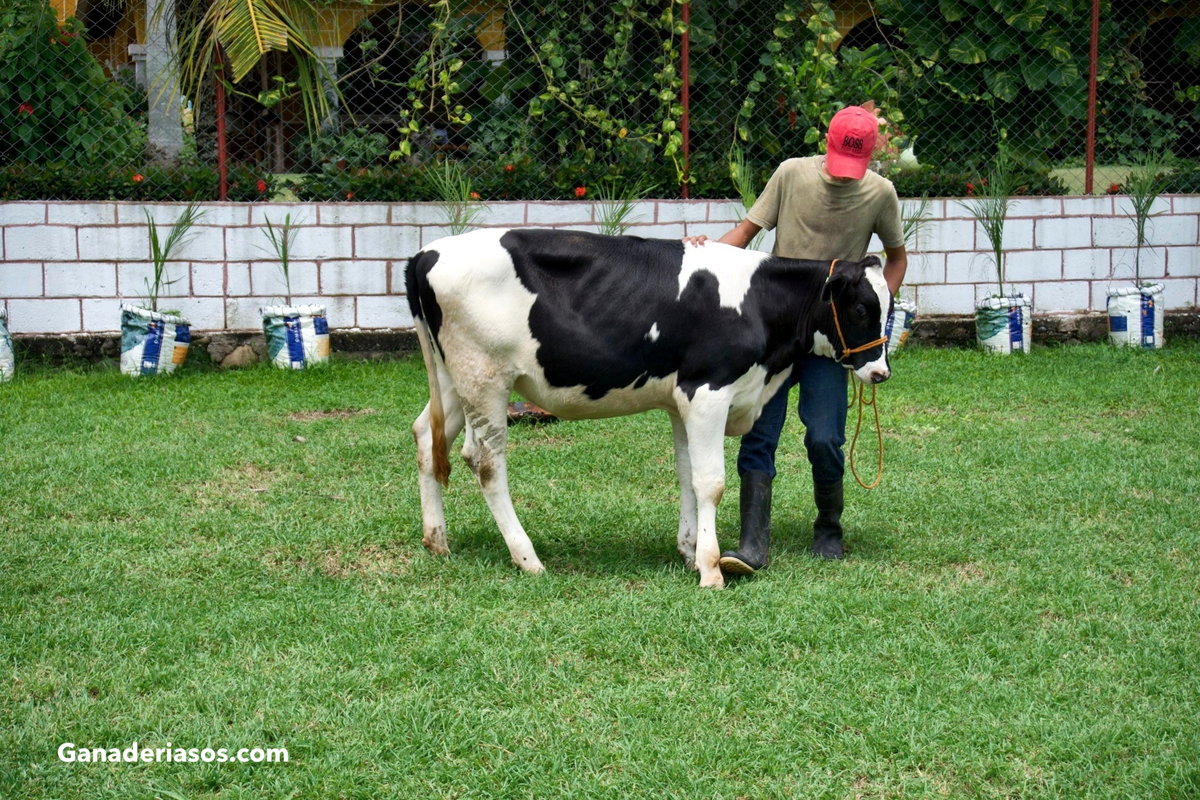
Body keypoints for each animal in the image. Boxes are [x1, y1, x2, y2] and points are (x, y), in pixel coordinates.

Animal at [406, 228, 891, 589]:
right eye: (861, 308)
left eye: (888, 308)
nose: (881, 371)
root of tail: (426, 252)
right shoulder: (708, 391)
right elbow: (711, 482)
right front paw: (711, 569)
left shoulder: (682, 401)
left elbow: (687, 475)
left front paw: (690, 552)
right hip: (485, 377)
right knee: (485, 462)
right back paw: (527, 557)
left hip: (453, 379)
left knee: (426, 437)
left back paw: (437, 541)